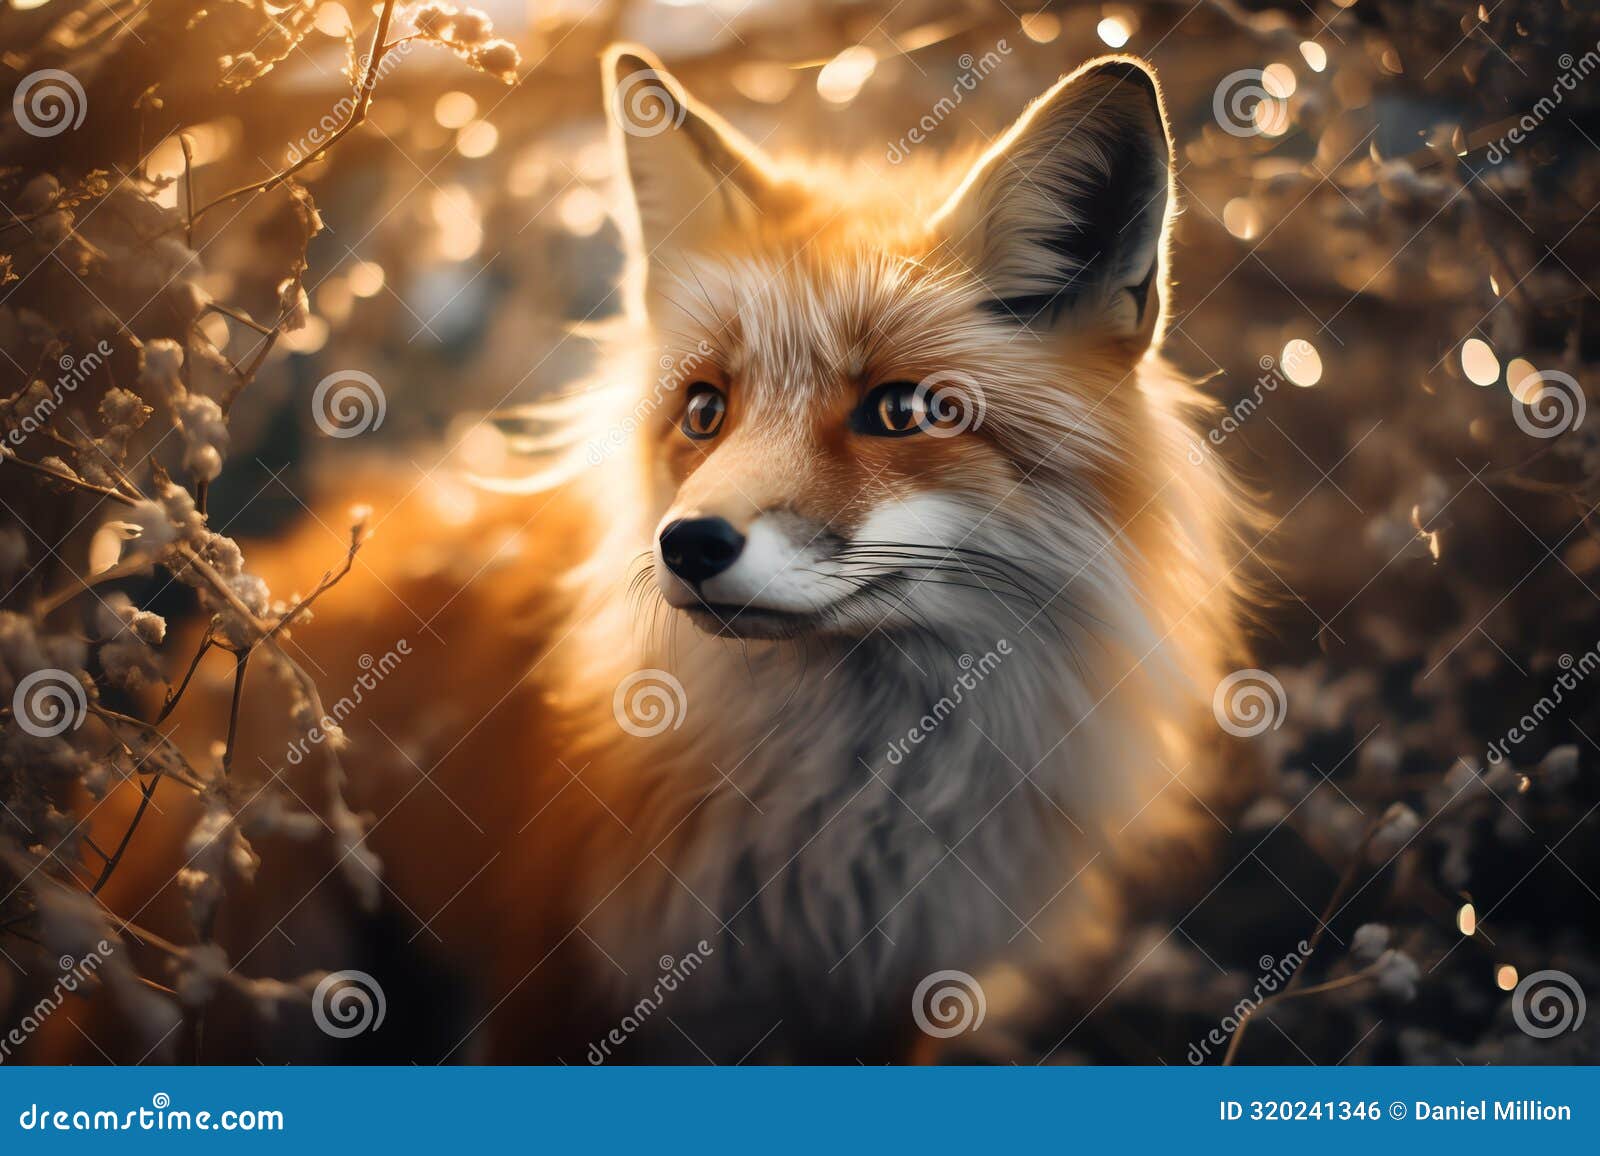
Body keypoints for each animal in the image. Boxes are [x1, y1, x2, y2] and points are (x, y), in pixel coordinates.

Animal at [68, 45, 1252, 1064]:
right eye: (704, 410)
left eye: (902, 412)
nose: (686, 544)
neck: (841, 816)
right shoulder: (558, 981)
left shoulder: (885, 1006)